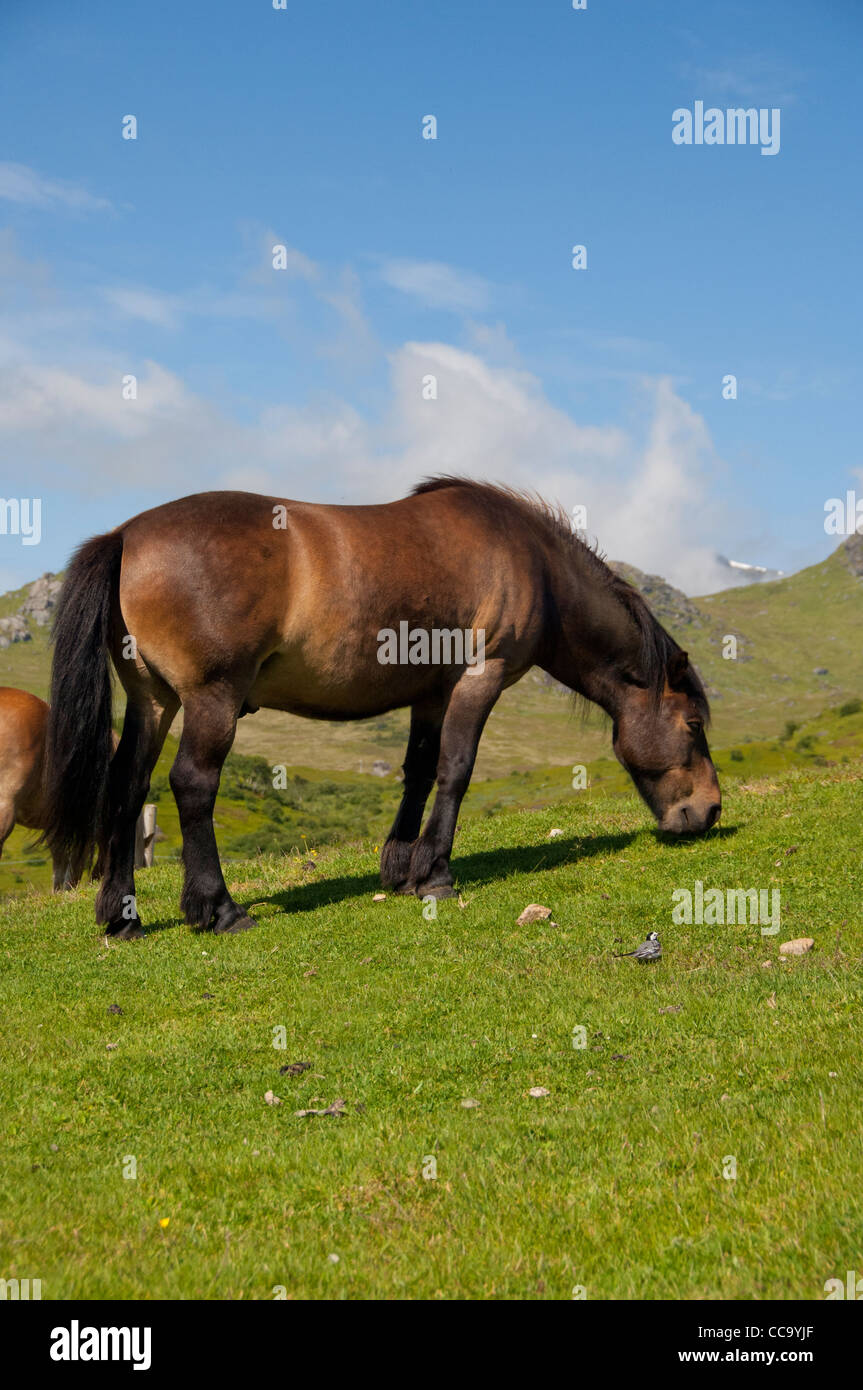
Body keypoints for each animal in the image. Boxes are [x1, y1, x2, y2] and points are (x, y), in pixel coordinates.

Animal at [42, 477, 721, 940]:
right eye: (692, 724)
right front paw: (436, 873)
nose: (710, 810)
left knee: (127, 787)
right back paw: (220, 908)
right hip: (211, 700)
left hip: (152, 701)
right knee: (192, 785)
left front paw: (399, 867)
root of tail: (125, 536)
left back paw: (123, 916)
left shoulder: (431, 692)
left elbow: (418, 772)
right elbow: (455, 771)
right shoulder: (480, 679)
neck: (535, 563)